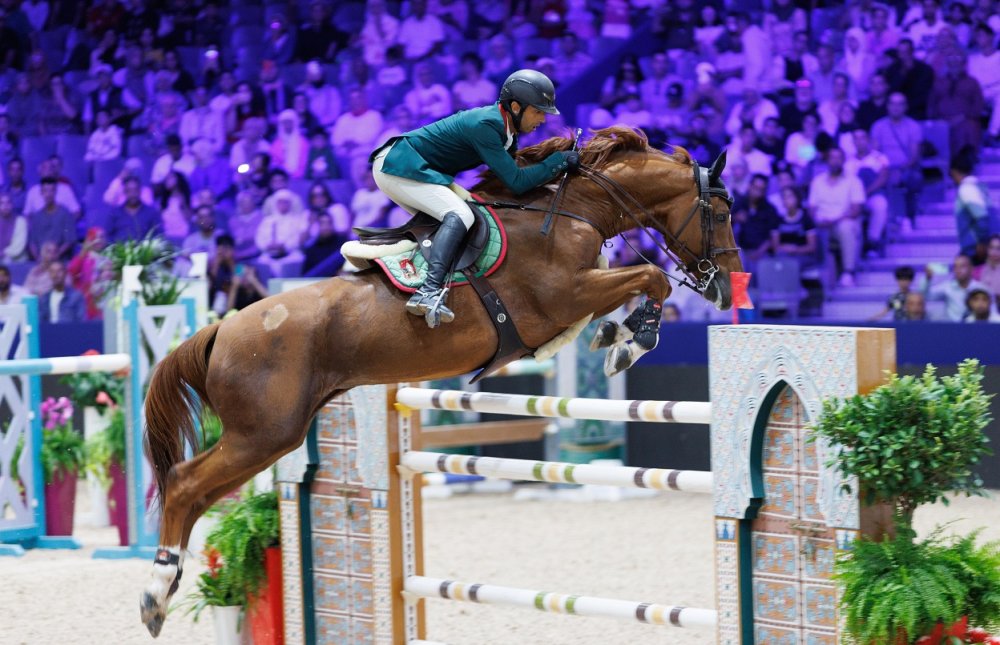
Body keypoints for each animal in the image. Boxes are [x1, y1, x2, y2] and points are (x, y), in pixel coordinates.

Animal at [139, 126, 742, 636]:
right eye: (720, 210)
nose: (726, 286)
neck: (574, 211)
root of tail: (222, 327)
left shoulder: (575, 300)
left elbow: (631, 291)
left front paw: (618, 335)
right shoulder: (565, 295)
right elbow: (652, 276)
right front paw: (630, 341)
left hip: (269, 435)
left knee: (196, 493)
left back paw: (167, 583)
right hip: (264, 434)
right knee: (186, 484)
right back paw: (156, 590)